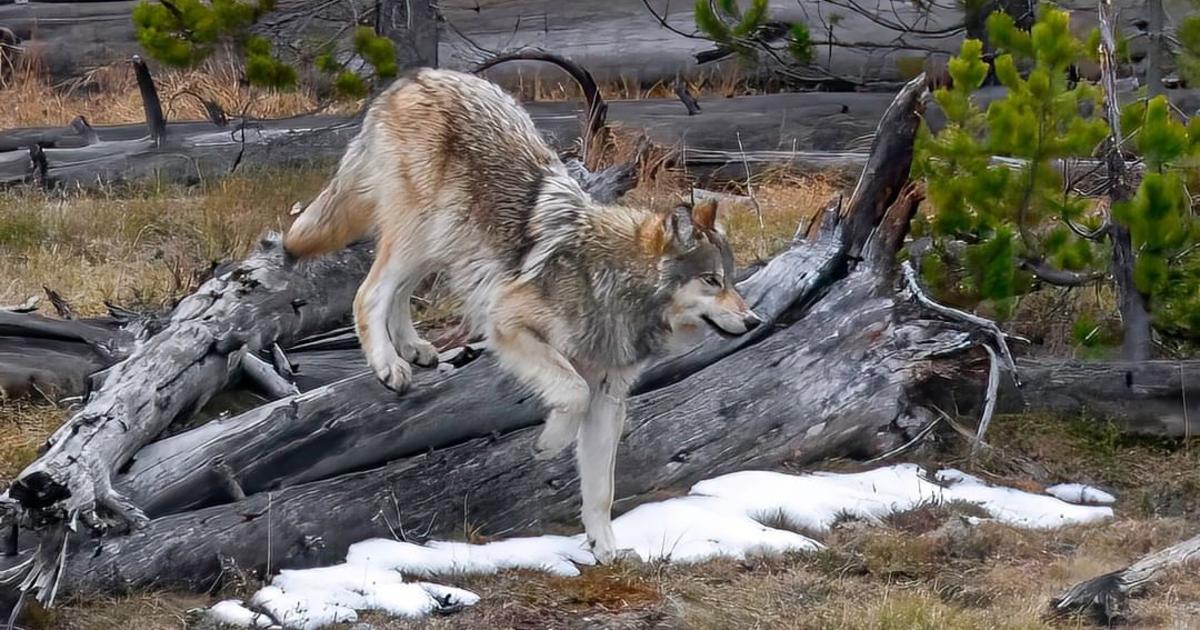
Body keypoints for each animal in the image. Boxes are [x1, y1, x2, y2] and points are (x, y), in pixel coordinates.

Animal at [283, 68, 761, 562]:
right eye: (712, 281)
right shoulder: (509, 326)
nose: (754, 322)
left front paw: (605, 551)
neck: (611, 279)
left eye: (732, 280)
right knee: (369, 293)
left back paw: (414, 350)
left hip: (442, 244)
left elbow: (601, 490)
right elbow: (571, 393)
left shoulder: (610, 398)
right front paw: (549, 444)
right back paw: (388, 365)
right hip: (423, 232)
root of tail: (418, 76)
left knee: (397, 293)